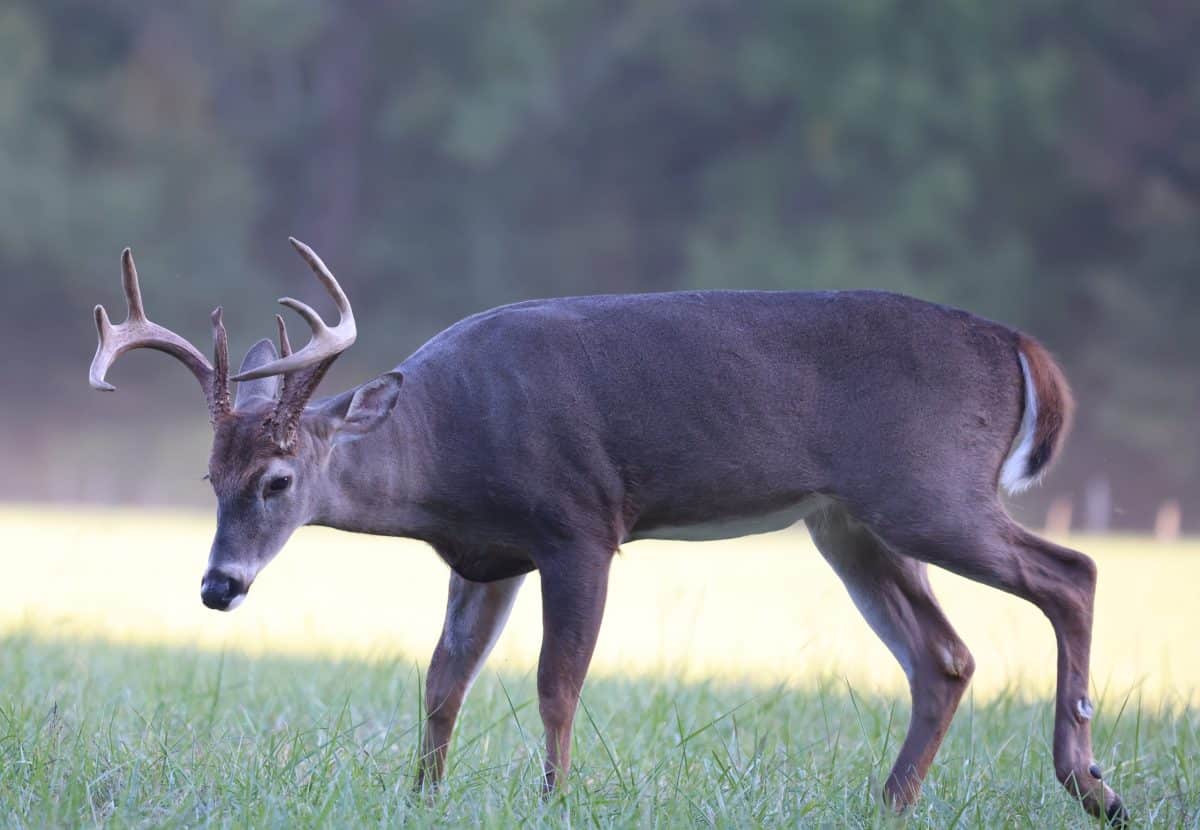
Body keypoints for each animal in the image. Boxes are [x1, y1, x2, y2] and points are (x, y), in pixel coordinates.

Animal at [89, 239, 1127, 824]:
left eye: (277, 480)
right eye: (210, 478)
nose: (218, 585)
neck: (446, 448)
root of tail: (1019, 346)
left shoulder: (578, 522)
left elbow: (558, 681)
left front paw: (555, 800)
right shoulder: (485, 557)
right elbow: (441, 679)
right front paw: (421, 798)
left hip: (928, 489)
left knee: (1072, 571)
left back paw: (1090, 781)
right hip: (852, 521)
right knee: (944, 657)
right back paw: (893, 805)